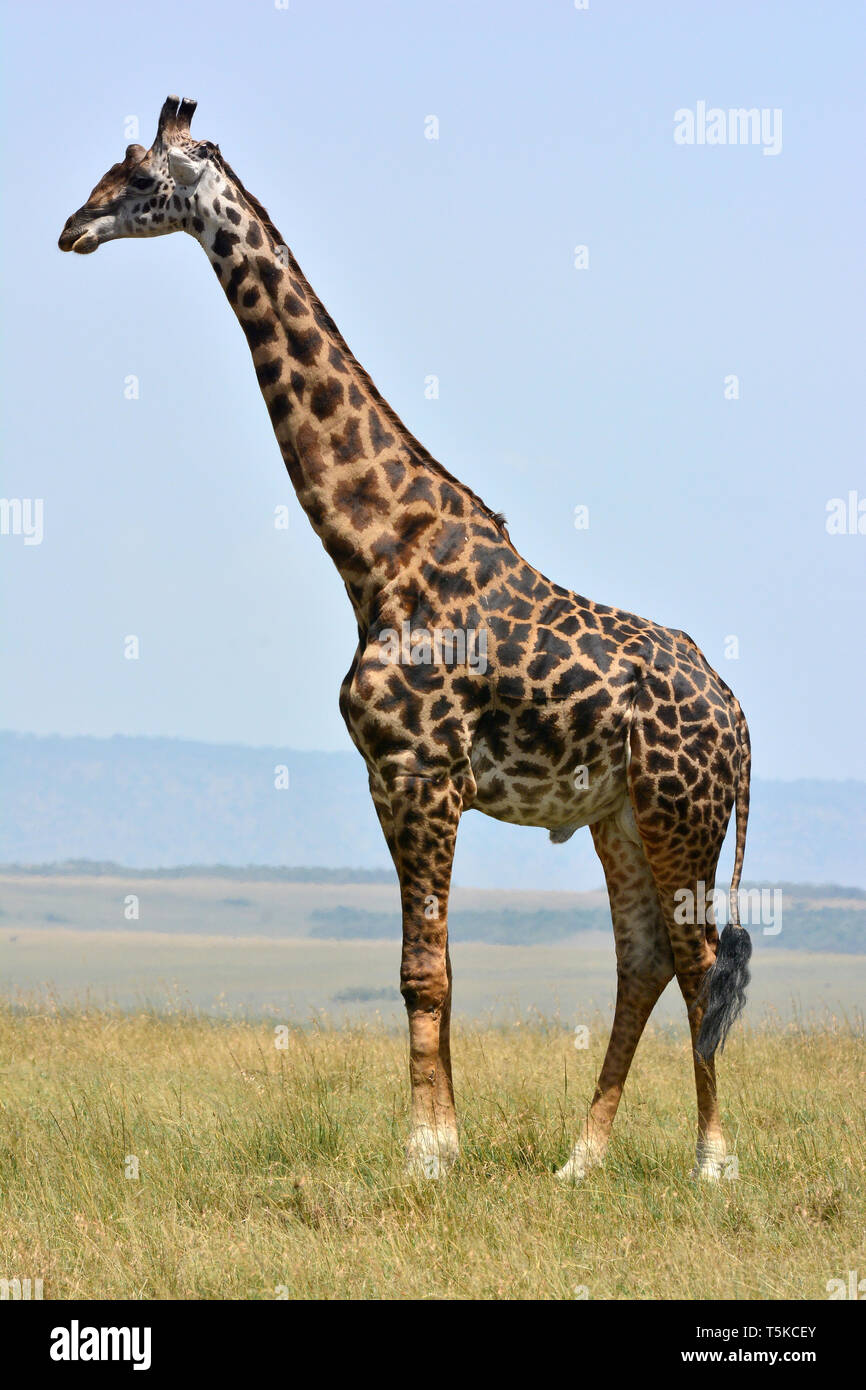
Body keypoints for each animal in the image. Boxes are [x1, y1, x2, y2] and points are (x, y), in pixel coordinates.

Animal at [59, 97, 752, 1182]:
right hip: (620, 815)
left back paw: (711, 1162)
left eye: (139, 179)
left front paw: (426, 1151)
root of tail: (739, 715)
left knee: (699, 958)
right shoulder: (395, 778)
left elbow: (421, 969)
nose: (71, 228)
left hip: (685, 811)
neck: (374, 550)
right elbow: (435, 966)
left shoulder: (417, 770)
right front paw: (442, 1140)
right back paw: (580, 1157)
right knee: (640, 960)